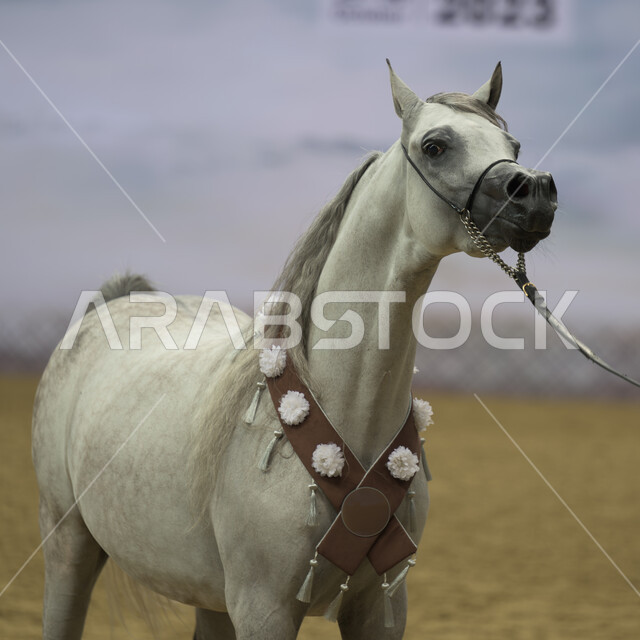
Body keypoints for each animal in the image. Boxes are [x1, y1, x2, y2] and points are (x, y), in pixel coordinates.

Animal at [32, 61, 557, 639]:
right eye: (435, 145)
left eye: (512, 142)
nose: (535, 191)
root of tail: (114, 303)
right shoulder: (264, 609)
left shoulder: (380, 606)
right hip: (68, 542)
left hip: (210, 598)